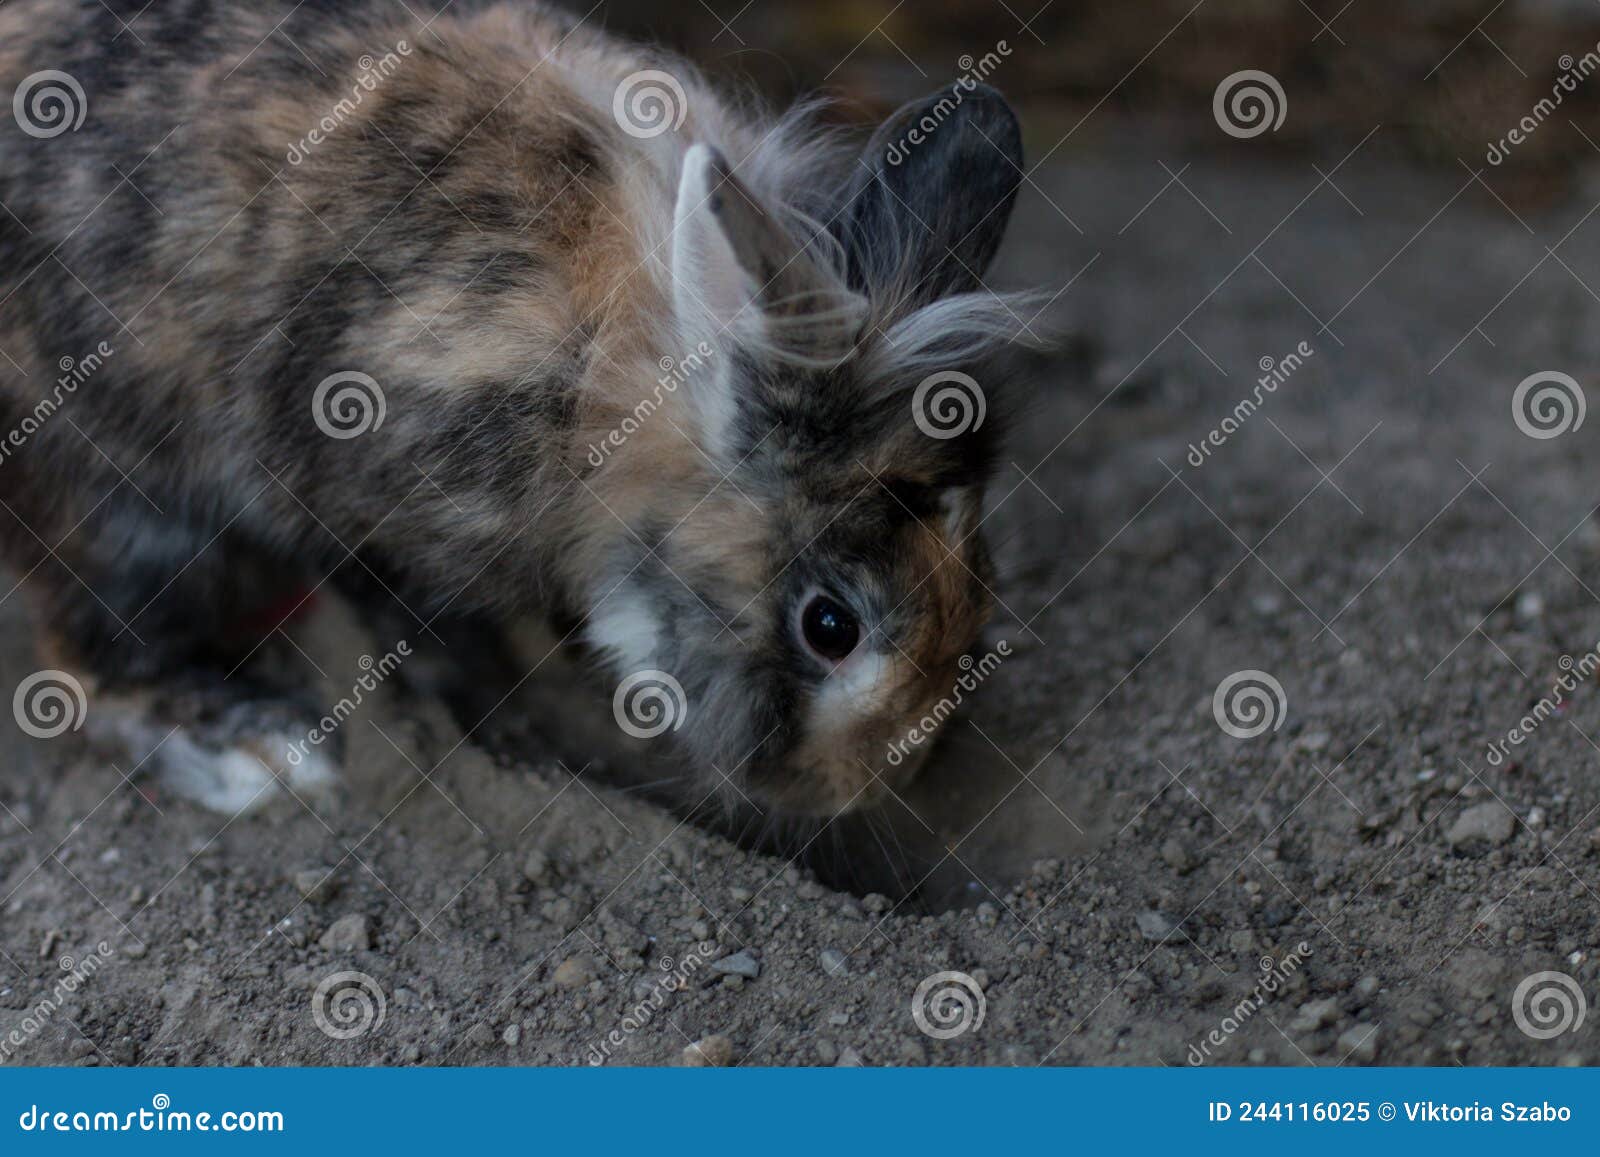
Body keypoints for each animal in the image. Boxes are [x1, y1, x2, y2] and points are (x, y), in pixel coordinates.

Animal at [0, 0, 1037, 819]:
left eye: (983, 583)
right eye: (830, 626)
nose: (864, 789)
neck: (607, 387)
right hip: (119, 502)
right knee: (88, 661)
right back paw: (259, 754)